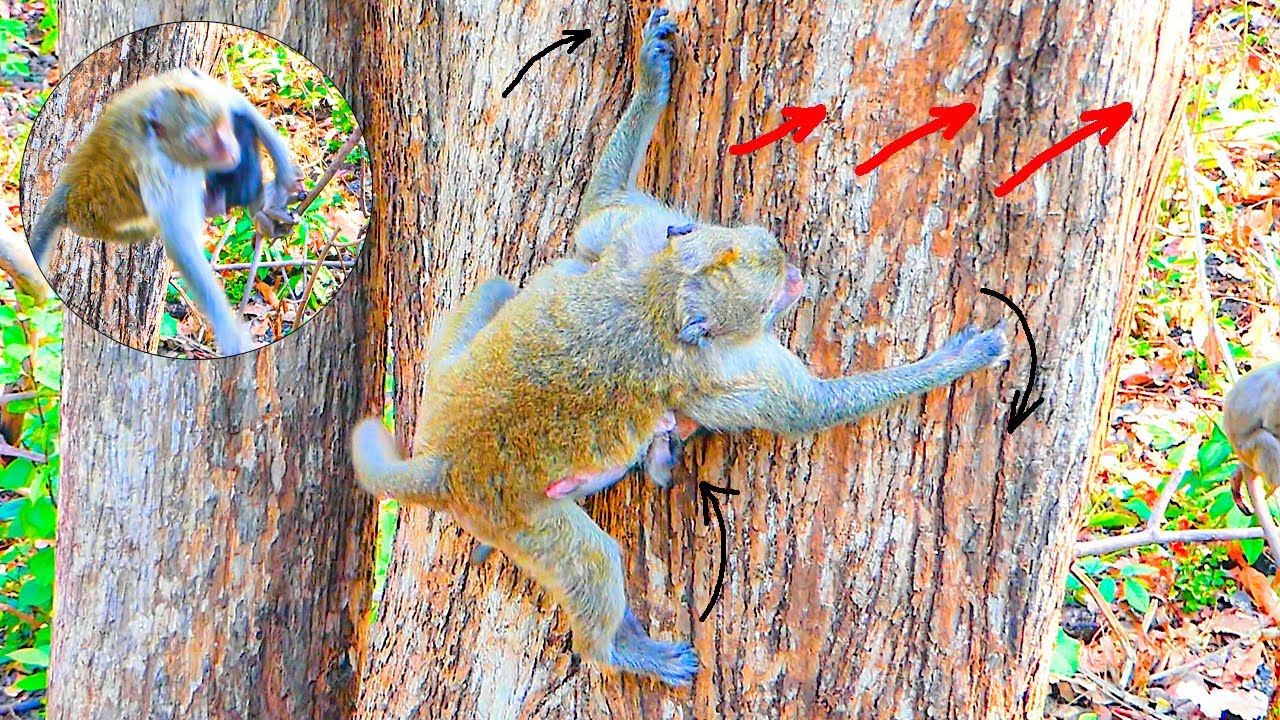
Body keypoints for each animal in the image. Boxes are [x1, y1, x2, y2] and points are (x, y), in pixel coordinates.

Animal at [26, 68, 302, 355]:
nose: (229, 150)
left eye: (220, 127)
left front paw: (285, 178)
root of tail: (68, 191)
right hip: (96, 222)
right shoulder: (164, 167)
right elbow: (181, 243)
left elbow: (240, 106)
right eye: (201, 139)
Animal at [351, 8, 1008, 687]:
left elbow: (600, 213)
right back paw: (619, 648)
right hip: (513, 514)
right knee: (590, 557)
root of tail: (438, 462)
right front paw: (959, 358)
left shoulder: (639, 241)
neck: (663, 294)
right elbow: (807, 411)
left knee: (498, 290)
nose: (791, 266)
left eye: (751, 242)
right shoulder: (720, 361)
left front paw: (651, 78)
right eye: (768, 296)